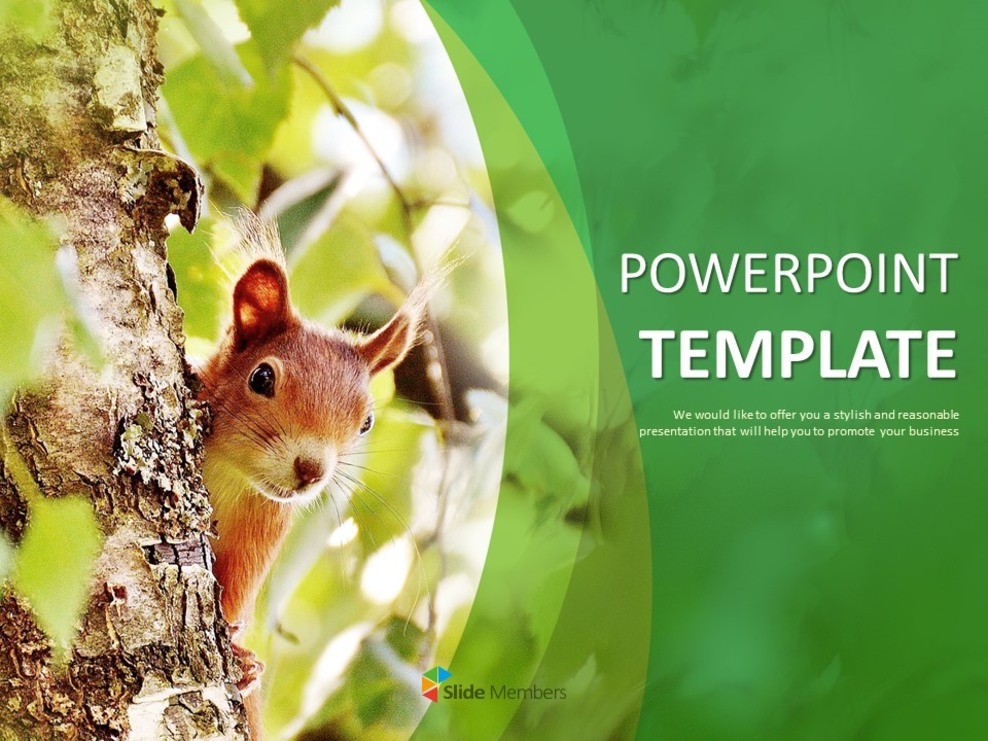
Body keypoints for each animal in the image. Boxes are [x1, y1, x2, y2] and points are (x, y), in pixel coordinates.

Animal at [195, 220, 427, 738]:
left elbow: (235, 591)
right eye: (262, 378)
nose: (311, 470)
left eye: (366, 422)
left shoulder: (262, 527)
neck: (230, 473)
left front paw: (242, 660)